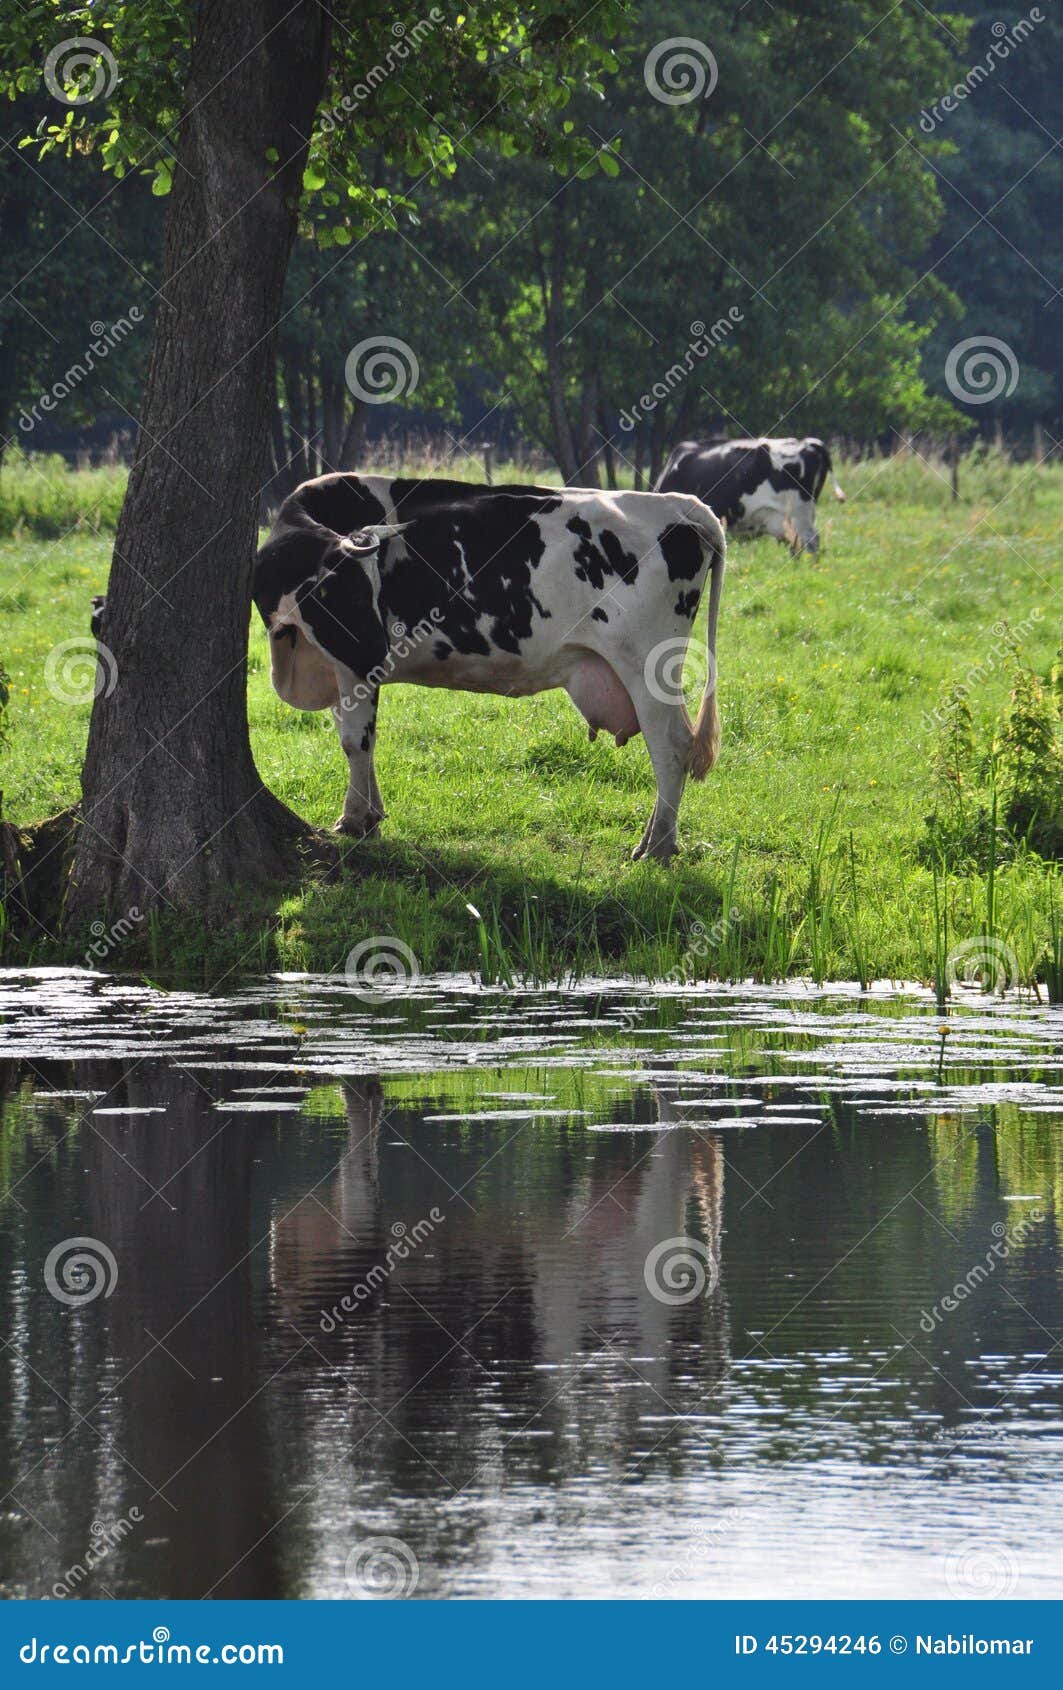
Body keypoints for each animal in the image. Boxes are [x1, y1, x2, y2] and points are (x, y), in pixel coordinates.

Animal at [253, 473, 726, 863]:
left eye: (360, 586)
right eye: (340, 588)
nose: (379, 647)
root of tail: (681, 504)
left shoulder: (350, 664)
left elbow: (355, 741)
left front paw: (353, 822)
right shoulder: (340, 664)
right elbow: (355, 736)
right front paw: (370, 816)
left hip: (647, 665)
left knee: (671, 748)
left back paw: (657, 847)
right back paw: (653, 840)